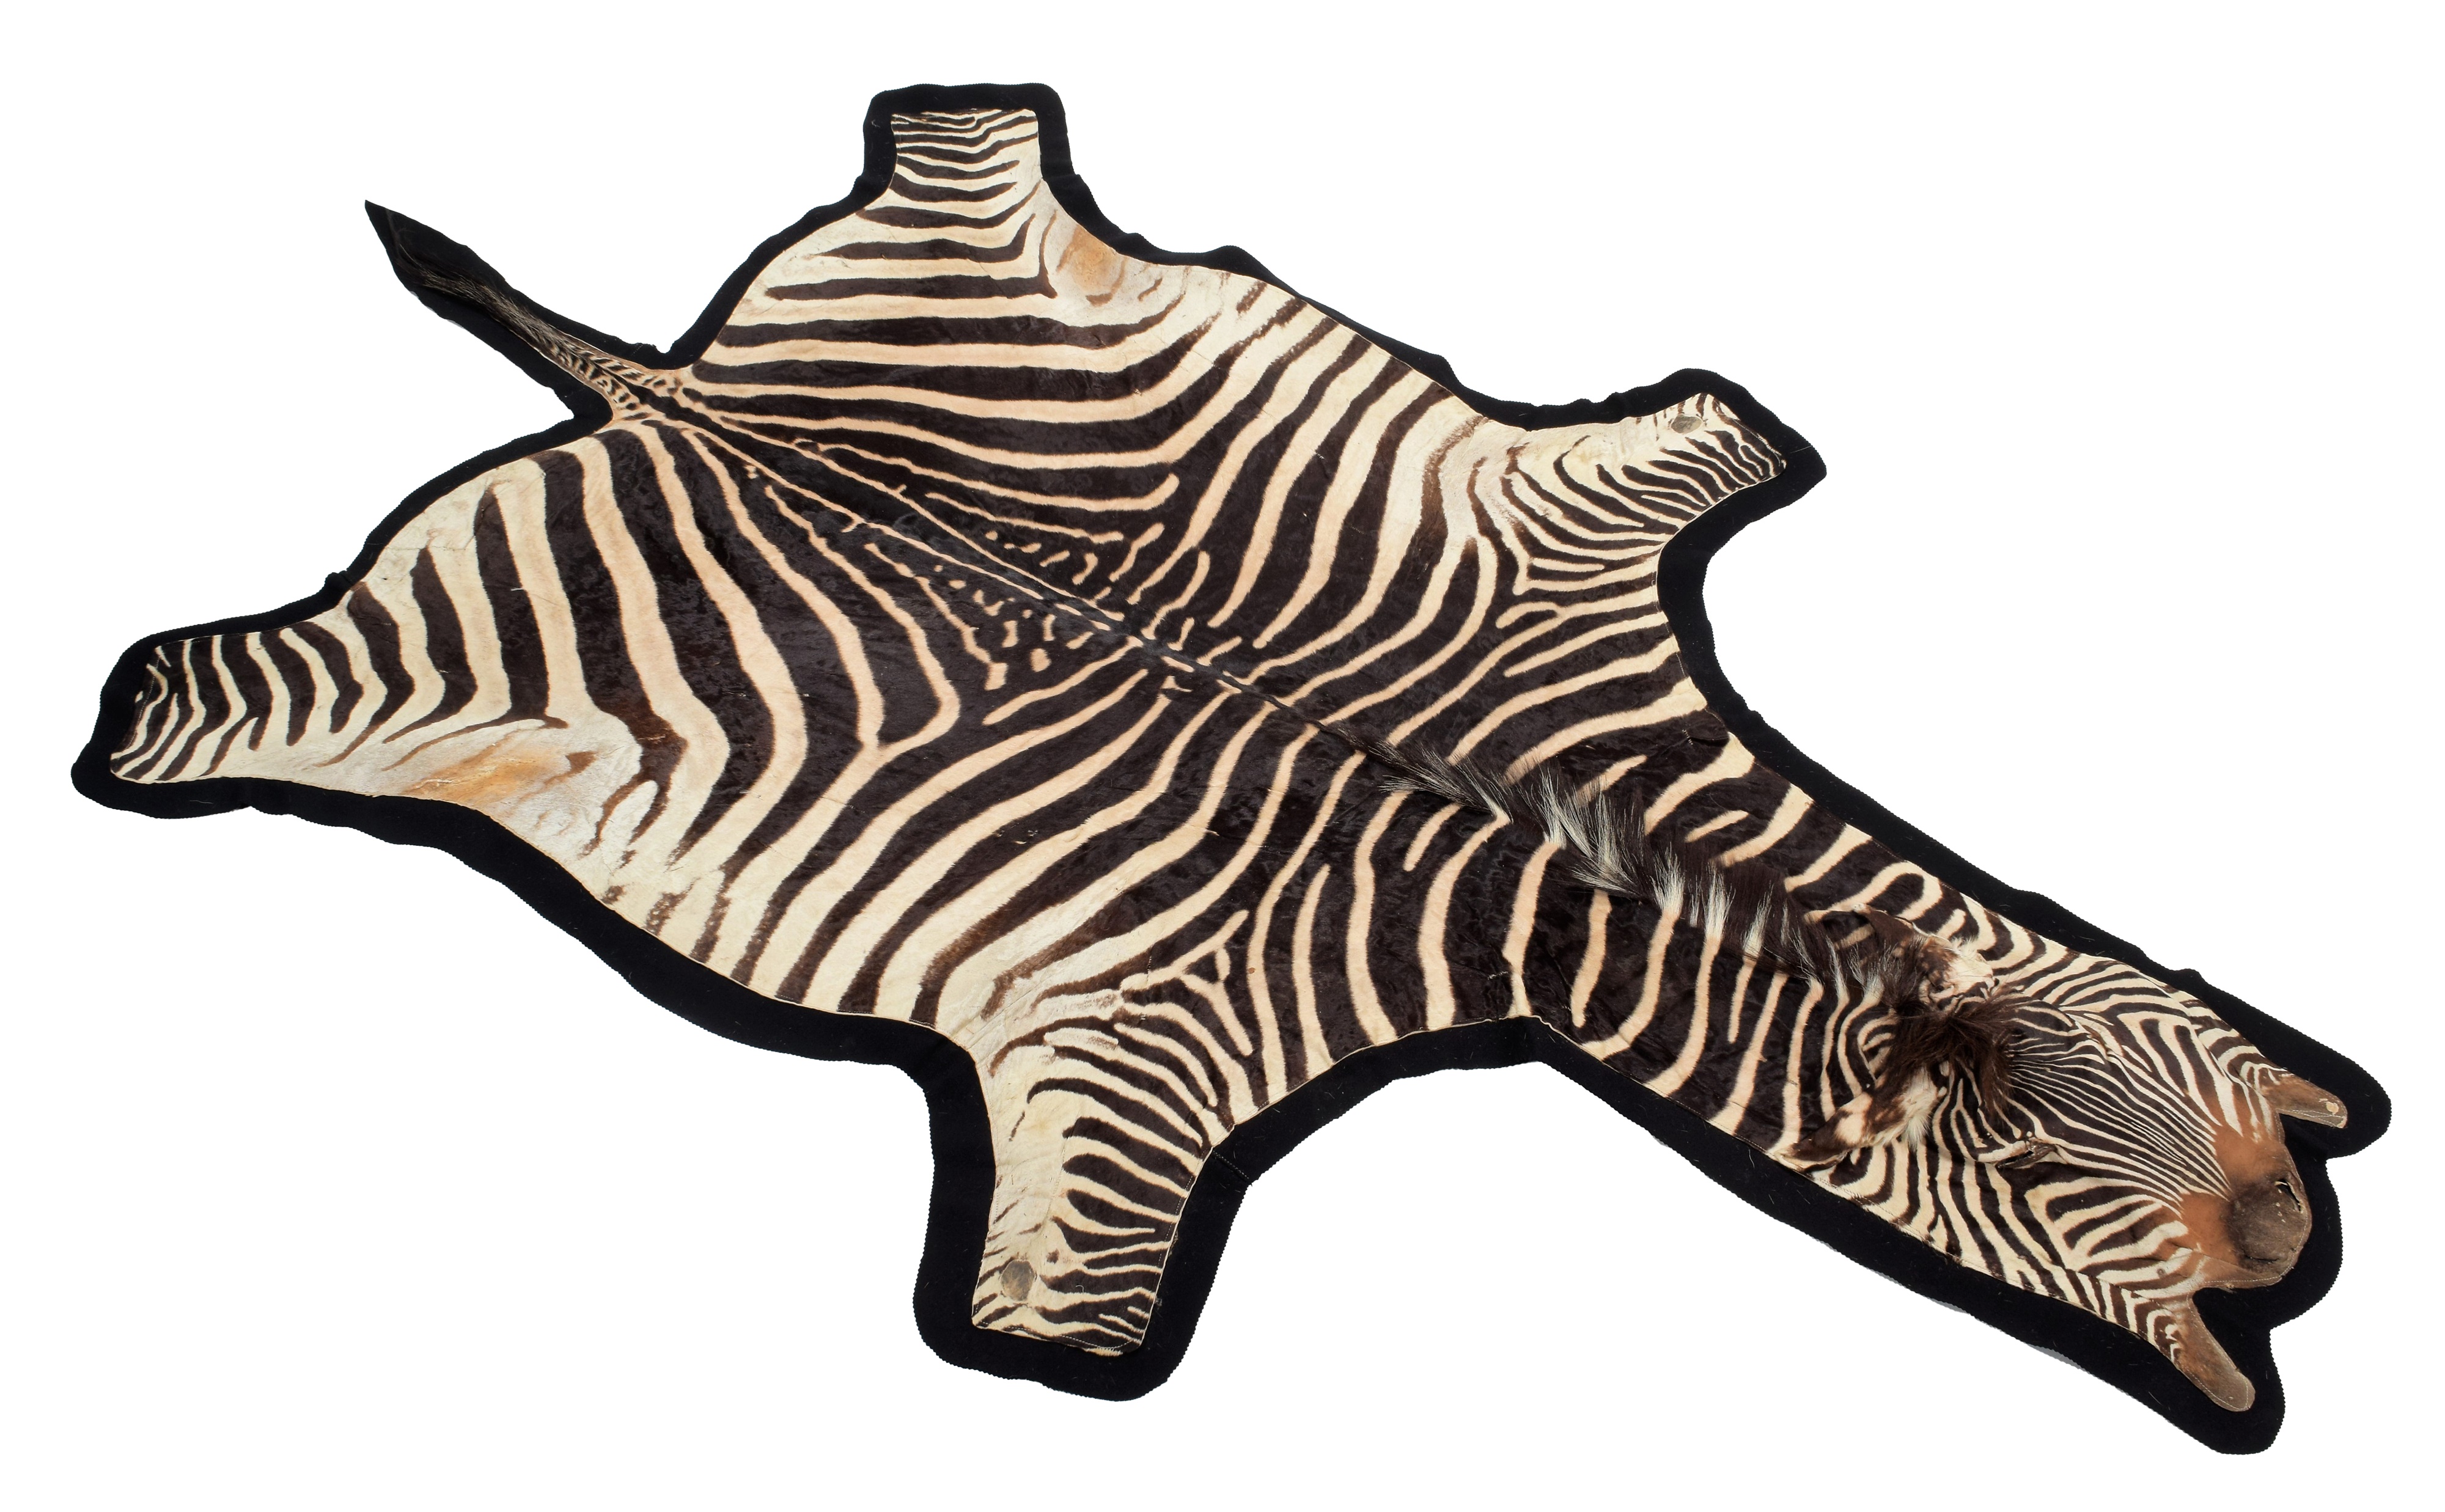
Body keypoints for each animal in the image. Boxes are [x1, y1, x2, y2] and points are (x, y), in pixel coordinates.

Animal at [76, 84, 2380, 1441]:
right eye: (2016, 1189)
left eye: (2175, 1043)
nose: (2292, 1243)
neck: (1575, 842)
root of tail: (671, 389)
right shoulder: (1137, 1054)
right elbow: (1073, 1310)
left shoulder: (1573, 518)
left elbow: (1707, 430)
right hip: (410, 670)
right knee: (211, 689)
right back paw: (139, 725)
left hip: (976, 251)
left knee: (962, 127)